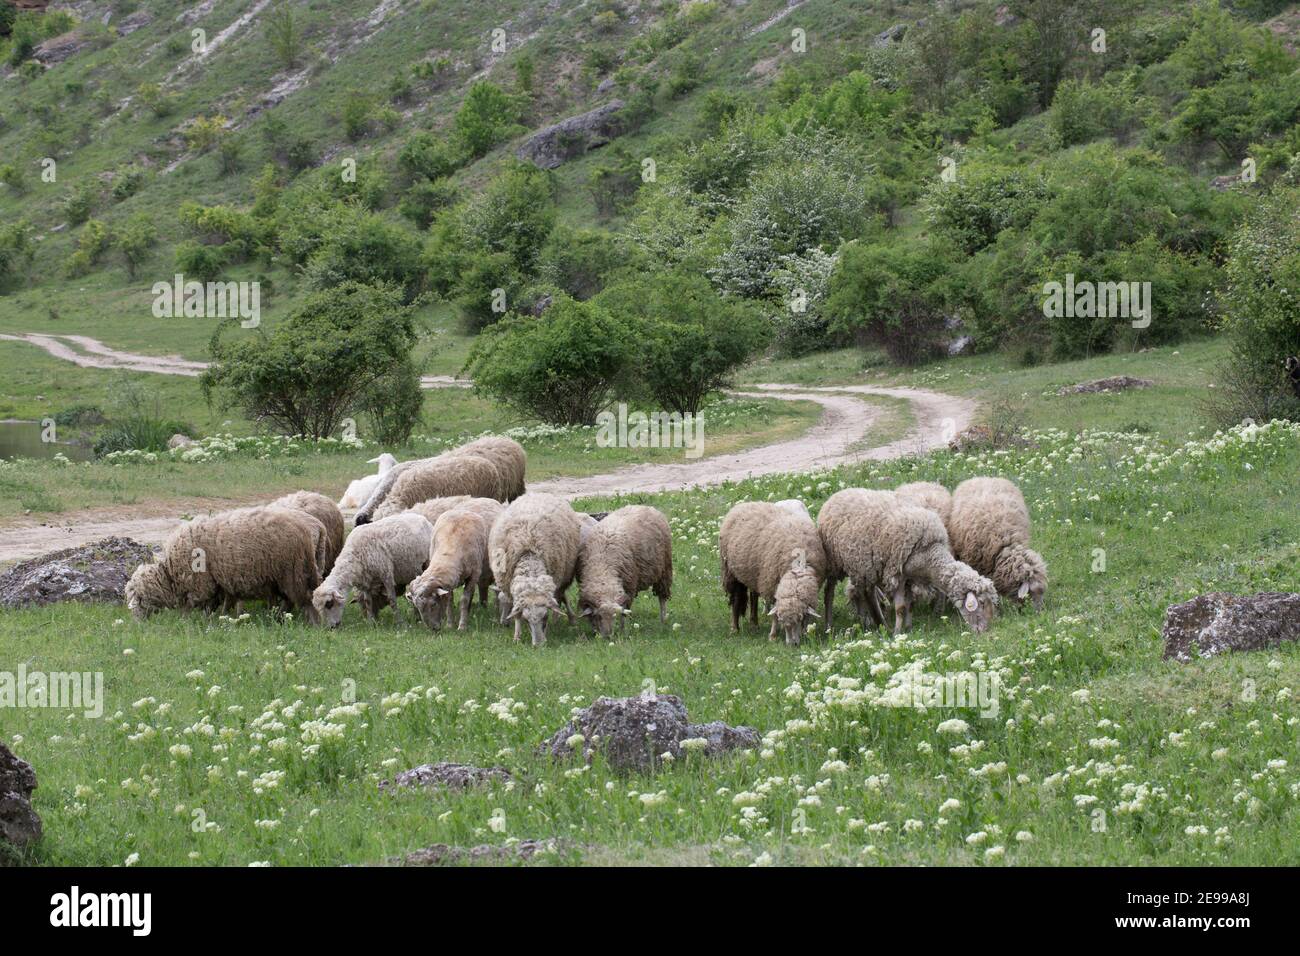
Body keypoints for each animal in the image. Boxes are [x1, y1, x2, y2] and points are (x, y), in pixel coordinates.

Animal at [125, 507, 323, 622]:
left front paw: (187, 621)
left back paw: (312, 622)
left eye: (139, 597)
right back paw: (278, 617)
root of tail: (305, 531)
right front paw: (222, 616)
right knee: (291, 599)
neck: (171, 574)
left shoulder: (201, 584)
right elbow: (223, 602)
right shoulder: (220, 582)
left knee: (304, 598)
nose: (136, 622)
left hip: (292, 571)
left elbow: (195, 606)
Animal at [488, 493, 582, 646]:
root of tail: (537, 493)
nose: (538, 645)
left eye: (545, 617)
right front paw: (517, 636)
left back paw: (570, 619)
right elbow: (516, 615)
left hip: (565, 574)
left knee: (562, 596)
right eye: (527, 620)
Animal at [576, 505, 673, 638]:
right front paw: (595, 630)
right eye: (599, 616)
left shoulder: (629, 588)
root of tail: (646, 507)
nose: (607, 637)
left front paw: (622, 630)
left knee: (662, 598)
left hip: (664, 570)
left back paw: (663, 620)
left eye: (614, 617)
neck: (603, 569)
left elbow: (624, 612)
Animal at [719, 501, 825, 646]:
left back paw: (754, 623)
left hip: (755, 573)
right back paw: (735, 628)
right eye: (782, 620)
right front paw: (773, 636)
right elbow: (773, 613)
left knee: (754, 596)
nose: (792, 644)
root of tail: (744, 504)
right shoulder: (771, 586)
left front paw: (804, 633)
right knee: (736, 600)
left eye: (799, 618)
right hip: (731, 571)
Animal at [817, 488, 998, 634]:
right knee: (829, 592)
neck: (929, 553)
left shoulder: (910, 578)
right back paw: (829, 625)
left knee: (868, 593)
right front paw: (898, 632)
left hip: (866, 567)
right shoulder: (897, 574)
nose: (984, 631)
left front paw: (909, 627)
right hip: (835, 563)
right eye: (981, 603)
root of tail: (836, 495)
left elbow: (910, 605)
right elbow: (900, 608)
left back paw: (879, 623)